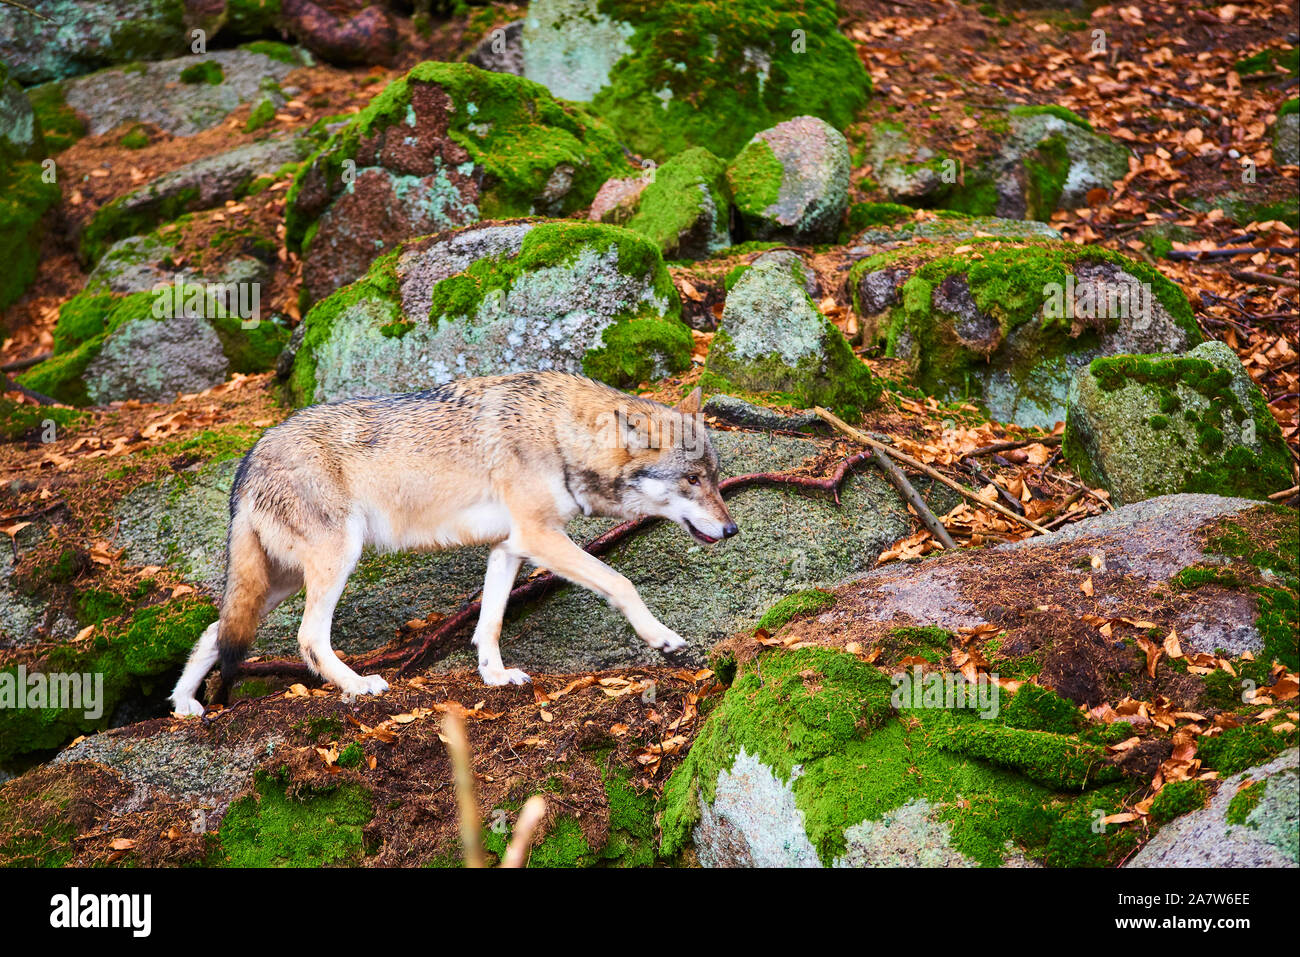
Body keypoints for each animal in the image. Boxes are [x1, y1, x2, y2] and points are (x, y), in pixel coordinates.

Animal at [169, 372, 737, 716]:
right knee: (307, 638)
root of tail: (247, 461)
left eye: (714, 478)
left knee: (214, 630)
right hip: (338, 561)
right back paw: (359, 686)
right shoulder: (540, 537)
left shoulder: (510, 545)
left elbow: (490, 623)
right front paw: (662, 638)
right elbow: (621, 583)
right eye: (691, 480)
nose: (732, 531)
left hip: (279, 583)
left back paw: (185, 707)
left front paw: (495, 675)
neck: (560, 432)